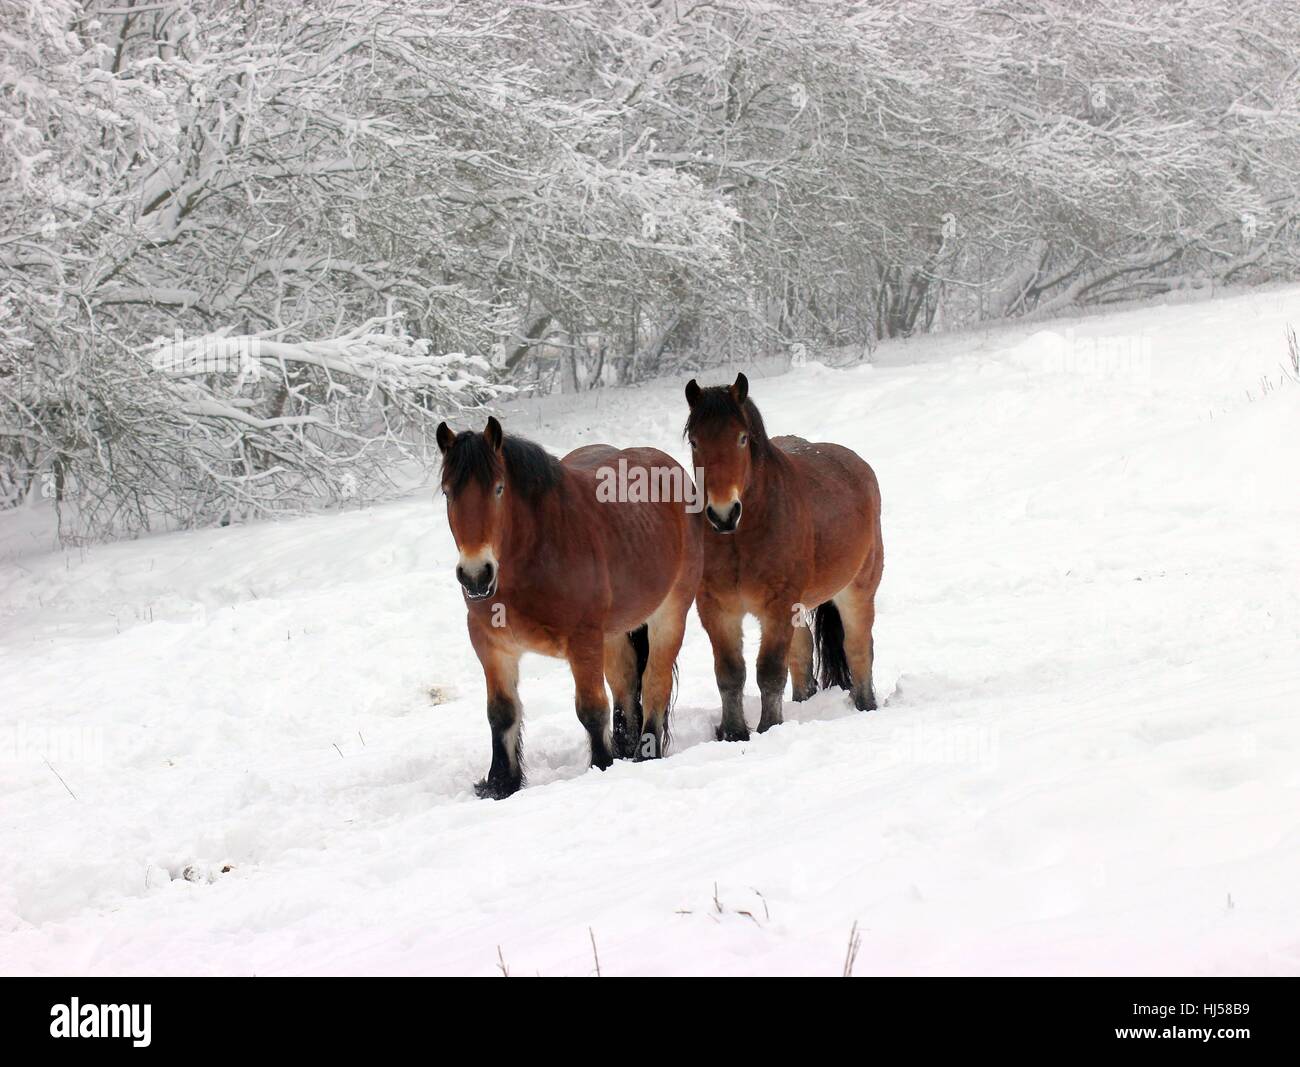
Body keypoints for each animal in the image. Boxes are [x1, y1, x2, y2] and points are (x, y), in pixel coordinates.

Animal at [436, 416, 703, 799]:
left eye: (499, 489)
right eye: (448, 492)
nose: (475, 575)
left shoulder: (583, 641)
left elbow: (591, 709)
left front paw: (602, 766)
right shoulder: (491, 644)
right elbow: (501, 713)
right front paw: (500, 783)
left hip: (668, 617)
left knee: (654, 683)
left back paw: (644, 753)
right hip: (615, 634)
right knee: (624, 684)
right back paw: (626, 748)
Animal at [683, 372, 884, 740]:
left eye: (742, 438)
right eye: (694, 441)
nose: (722, 513)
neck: (742, 537)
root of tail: (858, 467)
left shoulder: (777, 607)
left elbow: (769, 671)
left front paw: (769, 727)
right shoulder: (716, 609)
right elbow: (730, 673)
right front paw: (734, 732)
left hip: (857, 591)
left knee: (859, 648)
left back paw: (866, 705)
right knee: (802, 657)